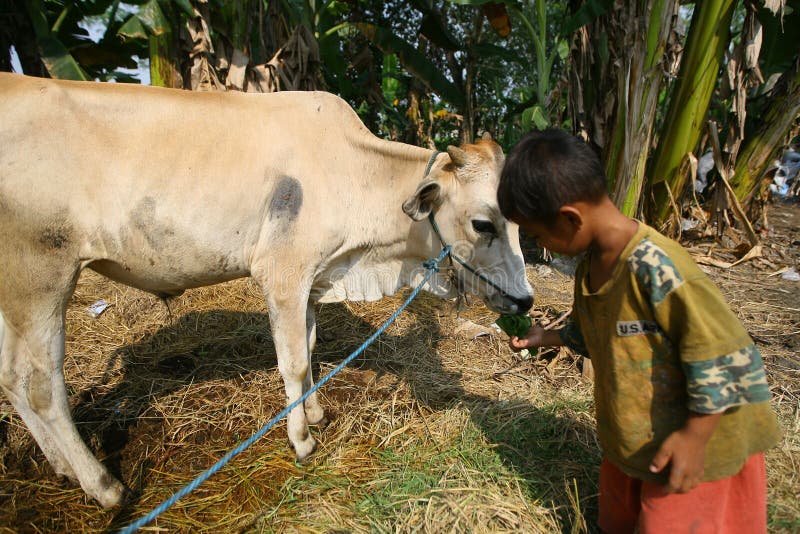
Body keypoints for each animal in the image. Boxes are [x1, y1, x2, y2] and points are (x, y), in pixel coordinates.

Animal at [0, 72, 533, 507]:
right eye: (483, 223)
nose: (524, 300)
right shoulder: (283, 276)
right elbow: (294, 362)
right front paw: (302, 440)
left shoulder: (314, 279)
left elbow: (311, 348)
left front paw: (315, 413)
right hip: (41, 279)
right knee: (44, 388)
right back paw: (104, 486)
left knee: (14, 380)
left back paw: (63, 468)